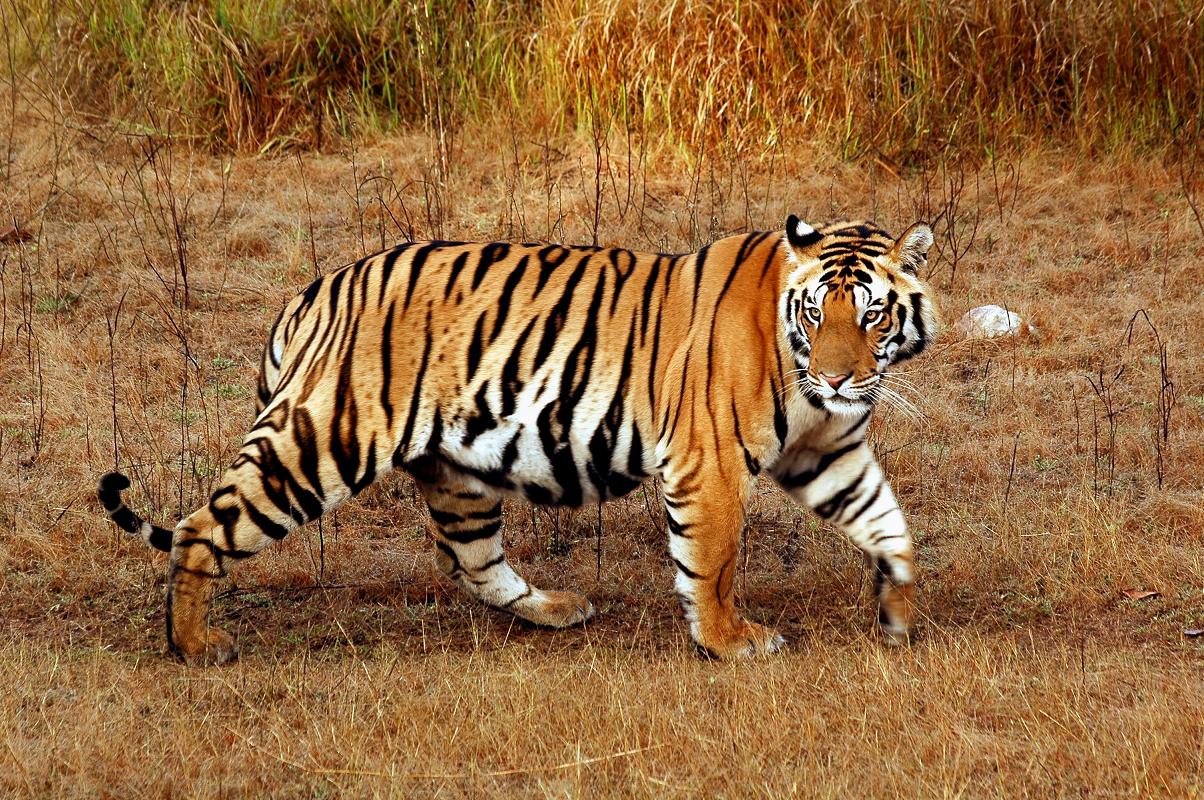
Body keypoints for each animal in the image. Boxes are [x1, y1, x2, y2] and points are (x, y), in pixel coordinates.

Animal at [98, 215, 936, 665]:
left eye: (871, 314)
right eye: (817, 312)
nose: (835, 378)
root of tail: (314, 289)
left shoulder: (828, 453)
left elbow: (891, 529)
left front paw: (896, 615)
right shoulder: (712, 464)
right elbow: (716, 562)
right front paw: (730, 642)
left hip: (454, 470)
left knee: (472, 561)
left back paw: (555, 608)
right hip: (321, 441)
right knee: (202, 528)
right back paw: (194, 646)